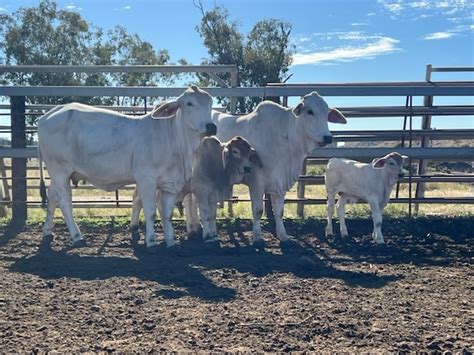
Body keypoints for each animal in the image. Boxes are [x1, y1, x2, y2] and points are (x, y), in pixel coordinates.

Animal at [38, 85, 216, 250]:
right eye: (189, 103)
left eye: (210, 103)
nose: (211, 126)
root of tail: (46, 116)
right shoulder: (146, 179)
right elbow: (151, 212)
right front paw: (151, 242)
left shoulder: (170, 184)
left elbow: (167, 214)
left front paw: (171, 242)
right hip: (59, 170)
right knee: (65, 201)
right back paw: (77, 237)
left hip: (57, 174)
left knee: (52, 196)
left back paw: (48, 232)